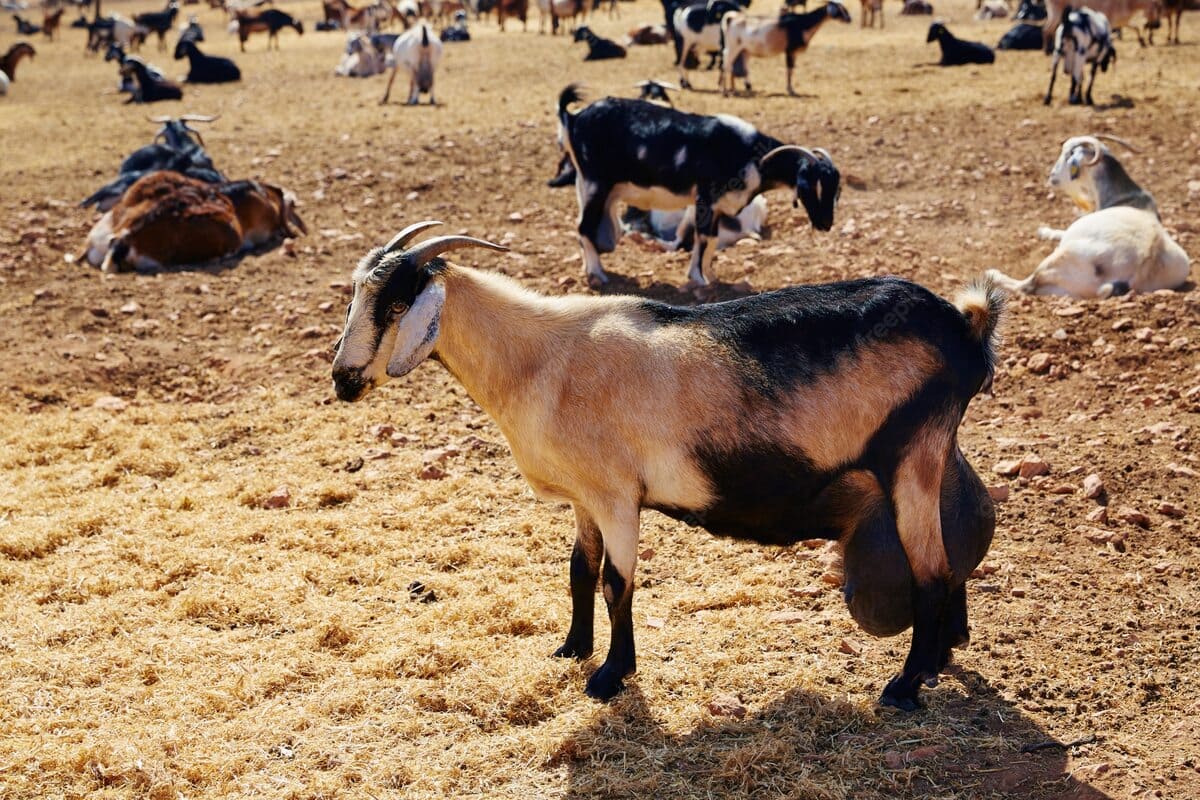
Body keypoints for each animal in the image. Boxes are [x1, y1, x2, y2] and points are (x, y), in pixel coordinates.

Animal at [331, 222, 1002, 709]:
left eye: (395, 304)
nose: (342, 379)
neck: (541, 359)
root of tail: (965, 326)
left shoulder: (616, 496)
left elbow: (616, 582)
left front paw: (610, 676)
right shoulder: (585, 499)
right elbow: (579, 570)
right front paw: (572, 649)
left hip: (911, 455)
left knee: (931, 571)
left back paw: (904, 688)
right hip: (931, 457)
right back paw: (942, 657)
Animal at [558, 85, 840, 285]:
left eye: (835, 191)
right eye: (809, 187)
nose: (826, 225)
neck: (751, 154)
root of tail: (574, 117)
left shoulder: (717, 206)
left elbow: (711, 240)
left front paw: (710, 276)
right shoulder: (705, 197)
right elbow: (702, 238)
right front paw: (699, 279)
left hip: (590, 188)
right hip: (596, 184)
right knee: (584, 227)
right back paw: (597, 275)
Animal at [720, 2, 853, 96]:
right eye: (840, 9)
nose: (849, 19)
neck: (802, 23)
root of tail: (732, 19)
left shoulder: (793, 53)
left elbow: (792, 69)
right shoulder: (789, 51)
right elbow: (789, 69)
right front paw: (791, 90)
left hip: (745, 50)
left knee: (738, 66)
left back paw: (736, 89)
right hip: (733, 47)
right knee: (726, 64)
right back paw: (725, 91)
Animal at [988, 135, 1189, 298]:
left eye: (1068, 155)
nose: (1052, 176)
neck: (1126, 198)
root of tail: (1142, 264)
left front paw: (1044, 231)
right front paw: (1044, 231)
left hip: (1060, 257)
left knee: (1026, 286)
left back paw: (994, 275)